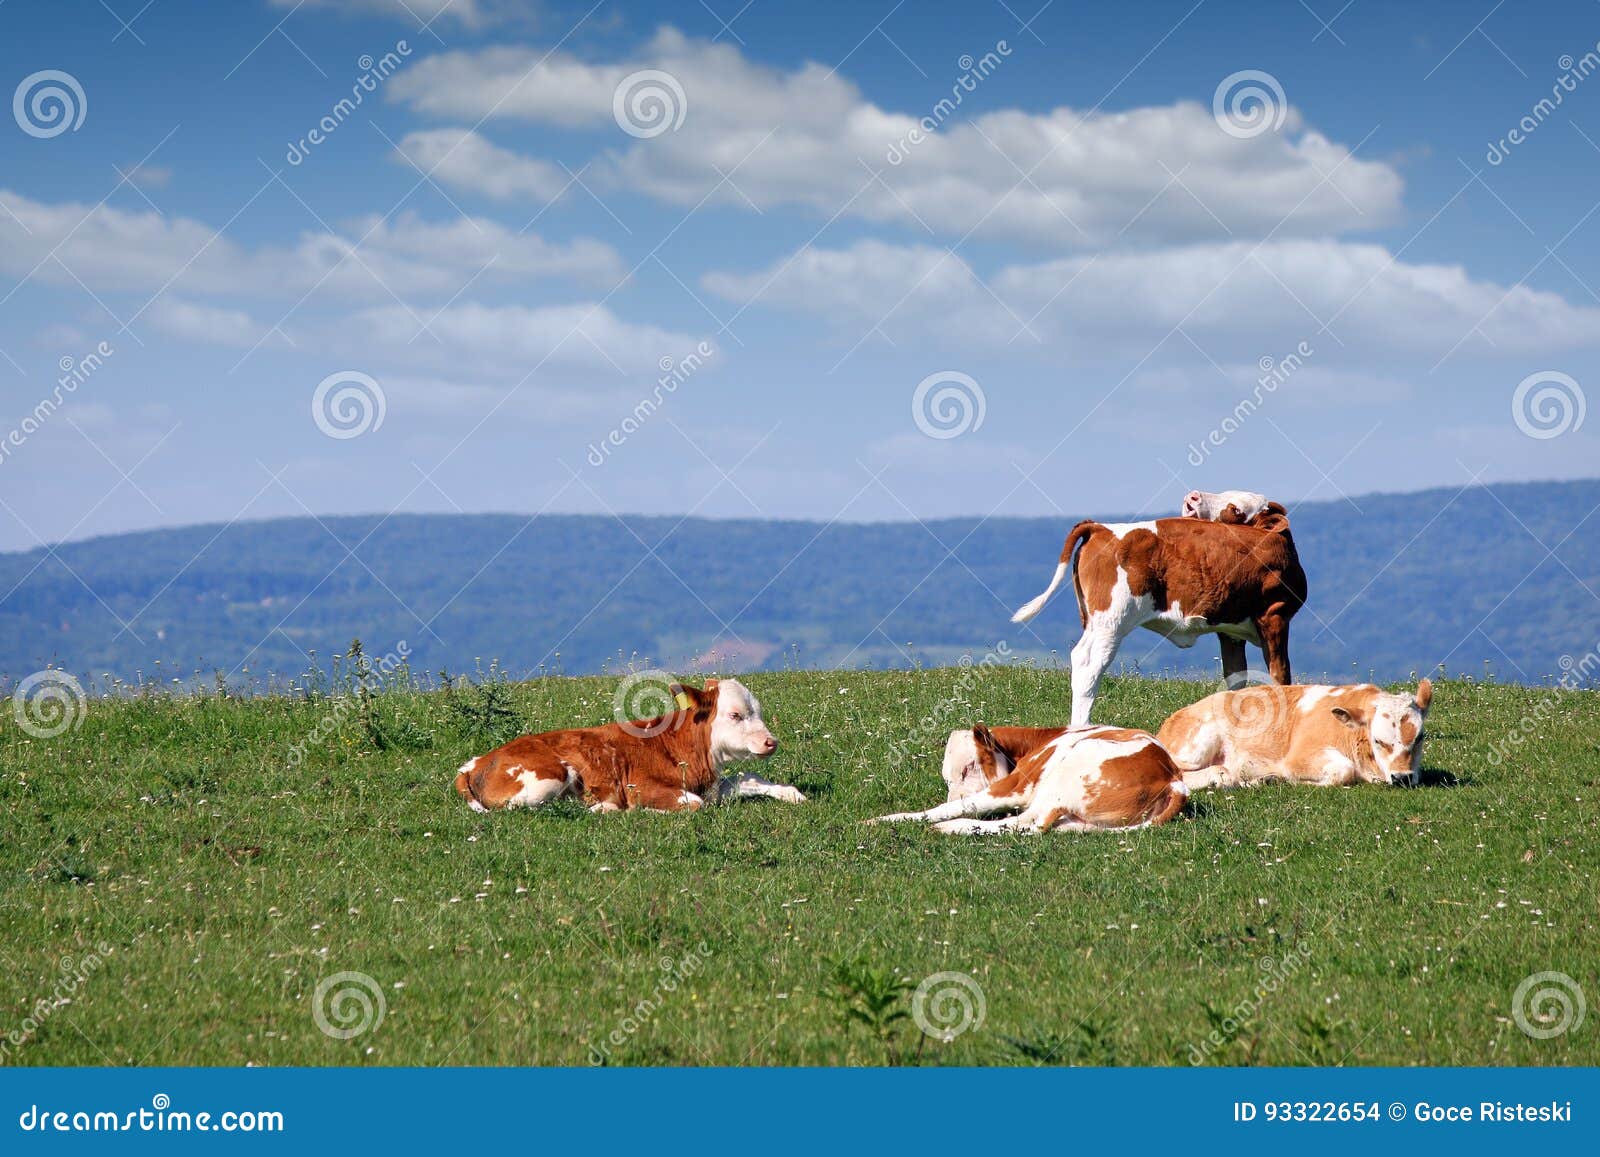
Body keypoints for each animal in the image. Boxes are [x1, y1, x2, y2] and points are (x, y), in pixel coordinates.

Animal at [452, 678, 806, 813]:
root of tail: (475, 762)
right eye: (735, 714)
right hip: (549, 775)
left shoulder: (711, 786)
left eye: (757, 711)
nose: (770, 742)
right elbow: (692, 803)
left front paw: (791, 794)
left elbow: (749, 779)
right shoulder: (642, 786)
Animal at [871, 725, 1189, 835]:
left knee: (1030, 824)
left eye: (969, 766)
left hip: (1064, 777)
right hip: (1080, 820)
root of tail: (1173, 779)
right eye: (946, 779)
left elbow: (948, 807)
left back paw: (949, 827)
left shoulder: (1015, 786)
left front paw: (884, 819)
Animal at [1011, 514, 1307, 725]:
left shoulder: (1230, 632)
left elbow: (1235, 679)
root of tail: (1101, 528)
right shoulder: (1275, 616)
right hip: (1111, 621)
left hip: (1093, 621)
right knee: (1089, 665)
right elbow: (1281, 674)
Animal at [1157, 679, 1433, 788]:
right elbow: (1342, 771)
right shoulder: (1299, 757)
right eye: (1379, 740)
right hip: (1196, 746)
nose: (1402, 777)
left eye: (1419, 738)